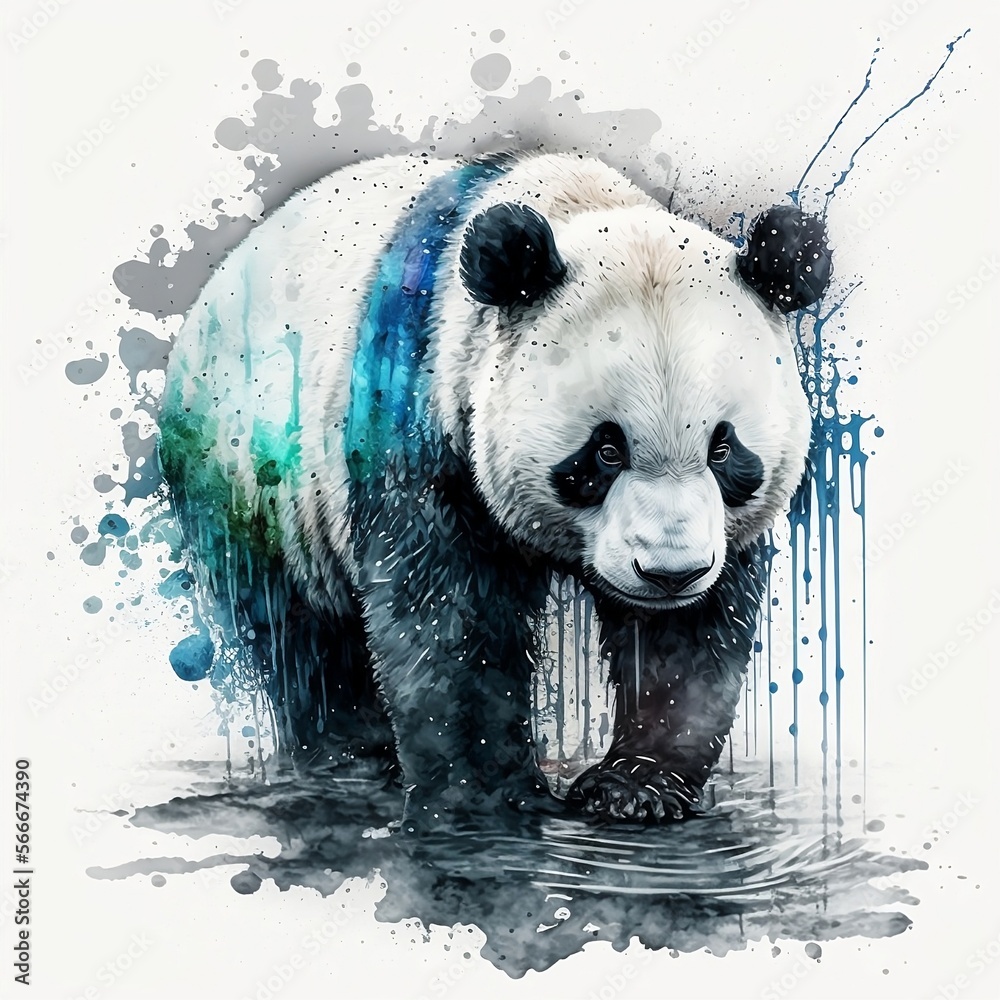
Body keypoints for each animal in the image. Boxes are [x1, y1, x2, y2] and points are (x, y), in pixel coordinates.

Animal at [159, 151, 831, 825]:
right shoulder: (419, 418)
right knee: (296, 633)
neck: (580, 208)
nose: (670, 573)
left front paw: (632, 787)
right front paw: (484, 796)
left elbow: (687, 639)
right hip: (249, 473)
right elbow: (445, 617)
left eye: (724, 449)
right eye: (605, 451)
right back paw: (351, 757)